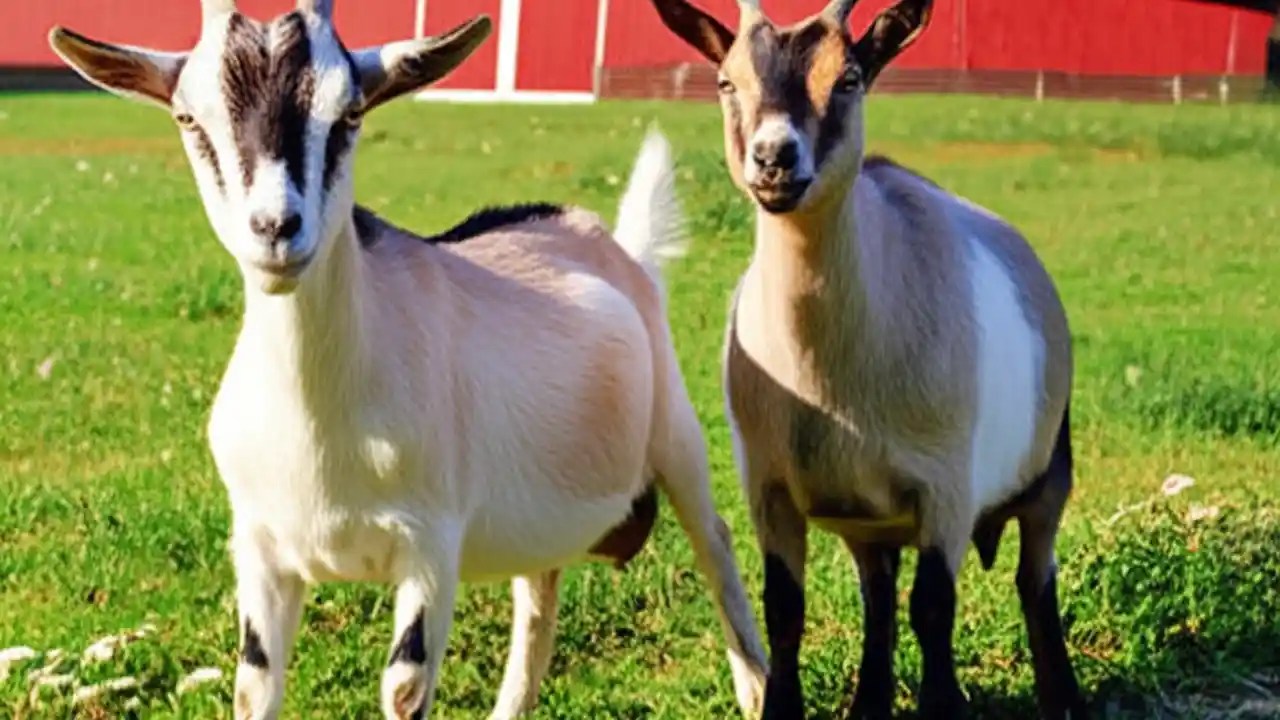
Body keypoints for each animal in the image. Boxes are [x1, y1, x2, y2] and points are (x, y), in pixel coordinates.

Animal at [48, 1, 768, 718]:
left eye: (350, 113)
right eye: (188, 119)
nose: (276, 230)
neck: (323, 422)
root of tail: (615, 246)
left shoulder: (431, 544)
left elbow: (403, 683)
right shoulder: (258, 547)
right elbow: (252, 680)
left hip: (677, 434)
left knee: (715, 541)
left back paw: (756, 686)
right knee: (539, 594)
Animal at [650, 0, 1087, 718]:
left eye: (849, 78)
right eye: (725, 81)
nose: (774, 158)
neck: (831, 382)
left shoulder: (946, 485)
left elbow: (934, 609)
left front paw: (944, 704)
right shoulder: (769, 486)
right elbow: (785, 609)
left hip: (1049, 467)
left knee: (1034, 578)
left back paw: (1063, 697)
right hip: (869, 521)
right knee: (878, 594)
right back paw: (870, 702)